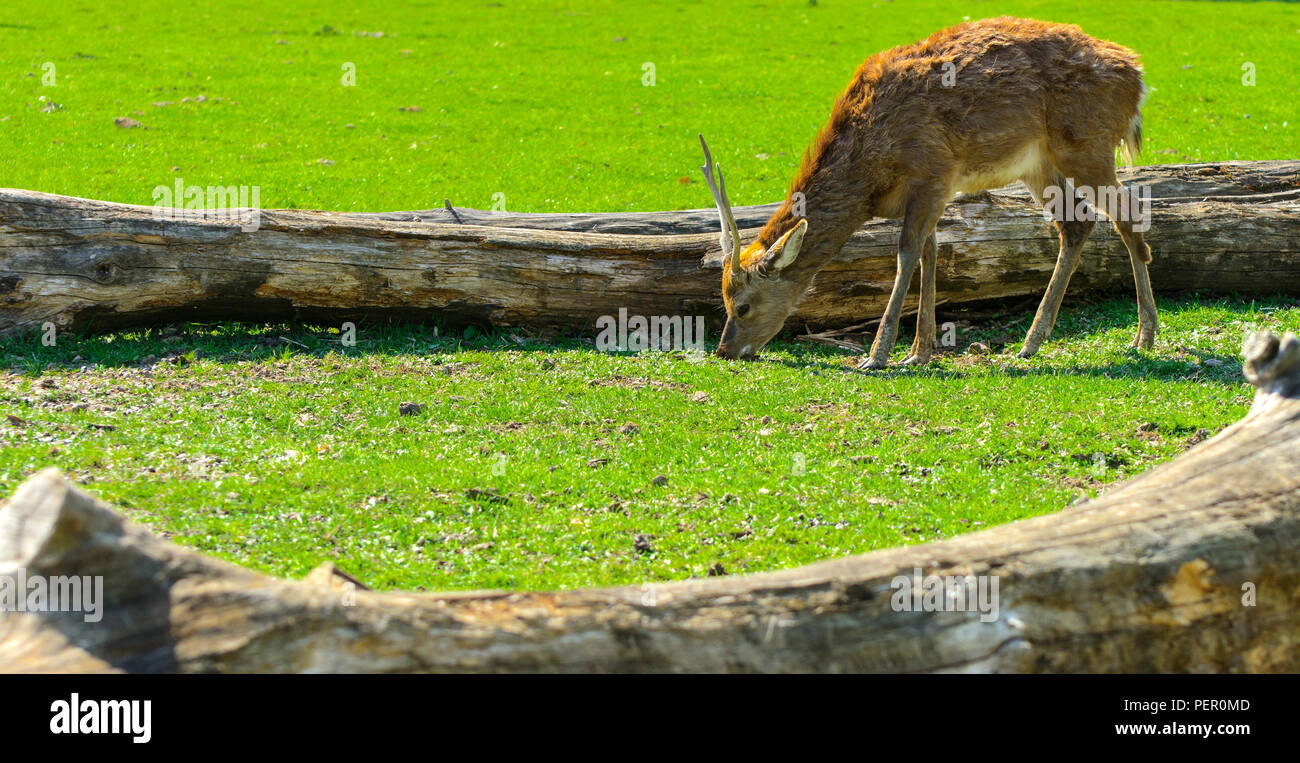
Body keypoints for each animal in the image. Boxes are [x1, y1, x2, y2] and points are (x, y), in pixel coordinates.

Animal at [701, 16, 1157, 368]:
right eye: (721, 300)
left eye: (742, 305)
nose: (724, 351)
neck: (870, 176)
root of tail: (1138, 76)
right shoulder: (929, 192)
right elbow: (929, 253)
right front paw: (918, 353)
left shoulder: (933, 171)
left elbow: (905, 253)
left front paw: (877, 355)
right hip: (1038, 164)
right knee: (1076, 224)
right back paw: (1032, 343)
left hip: (1087, 145)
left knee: (1129, 212)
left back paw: (1144, 336)